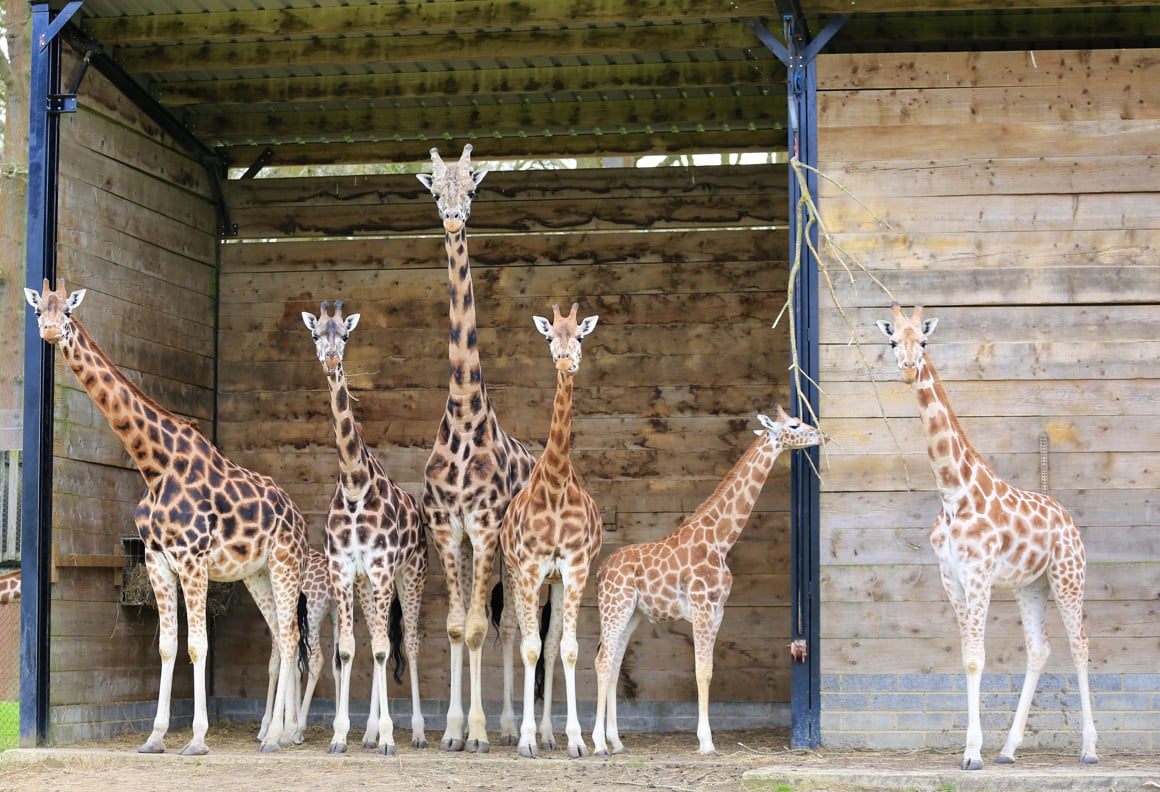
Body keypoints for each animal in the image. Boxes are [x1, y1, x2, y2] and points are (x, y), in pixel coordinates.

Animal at [24, 280, 307, 755]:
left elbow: (198, 646)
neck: (154, 467)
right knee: (279, 636)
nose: (49, 331)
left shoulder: (193, 560)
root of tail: (300, 518)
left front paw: (197, 739)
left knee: (289, 637)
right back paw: (277, 733)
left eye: (68, 312)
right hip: (257, 573)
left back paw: (278, 737)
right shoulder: (158, 560)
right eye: (38, 311)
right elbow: (168, 647)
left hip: (286, 564)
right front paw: (155, 737)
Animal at [302, 300, 428, 755]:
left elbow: (381, 648)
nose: (331, 359)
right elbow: (347, 650)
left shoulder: (382, 568)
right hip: (366, 585)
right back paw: (370, 733)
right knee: (375, 639)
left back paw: (416, 733)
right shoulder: (344, 570)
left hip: (410, 576)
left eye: (346, 335)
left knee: (407, 643)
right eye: (316, 333)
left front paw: (391, 736)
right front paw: (340, 735)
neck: (355, 484)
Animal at [591, 406, 828, 757]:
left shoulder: (718, 612)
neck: (720, 540)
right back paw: (596, 744)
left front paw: (705, 739)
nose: (823, 435)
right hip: (614, 607)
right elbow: (701, 671)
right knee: (603, 660)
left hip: (631, 613)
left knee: (615, 662)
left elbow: (709, 671)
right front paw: (707, 743)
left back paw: (616, 742)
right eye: (795, 425)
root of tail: (601, 571)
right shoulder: (702, 608)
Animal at [876, 302, 1098, 770]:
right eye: (892, 342)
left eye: (924, 341)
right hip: (1031, 586)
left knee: (1079, 643)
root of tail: (1069, 519)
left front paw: (972, 753)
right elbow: (966, 658)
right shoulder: (951, 578)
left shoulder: (978, 574)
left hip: (1069, 576)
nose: (908, 369)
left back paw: (1089, 749)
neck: (953, 493)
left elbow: (977, 659)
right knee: (1039, 648)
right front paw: (979, 749)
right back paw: (1009, 750)